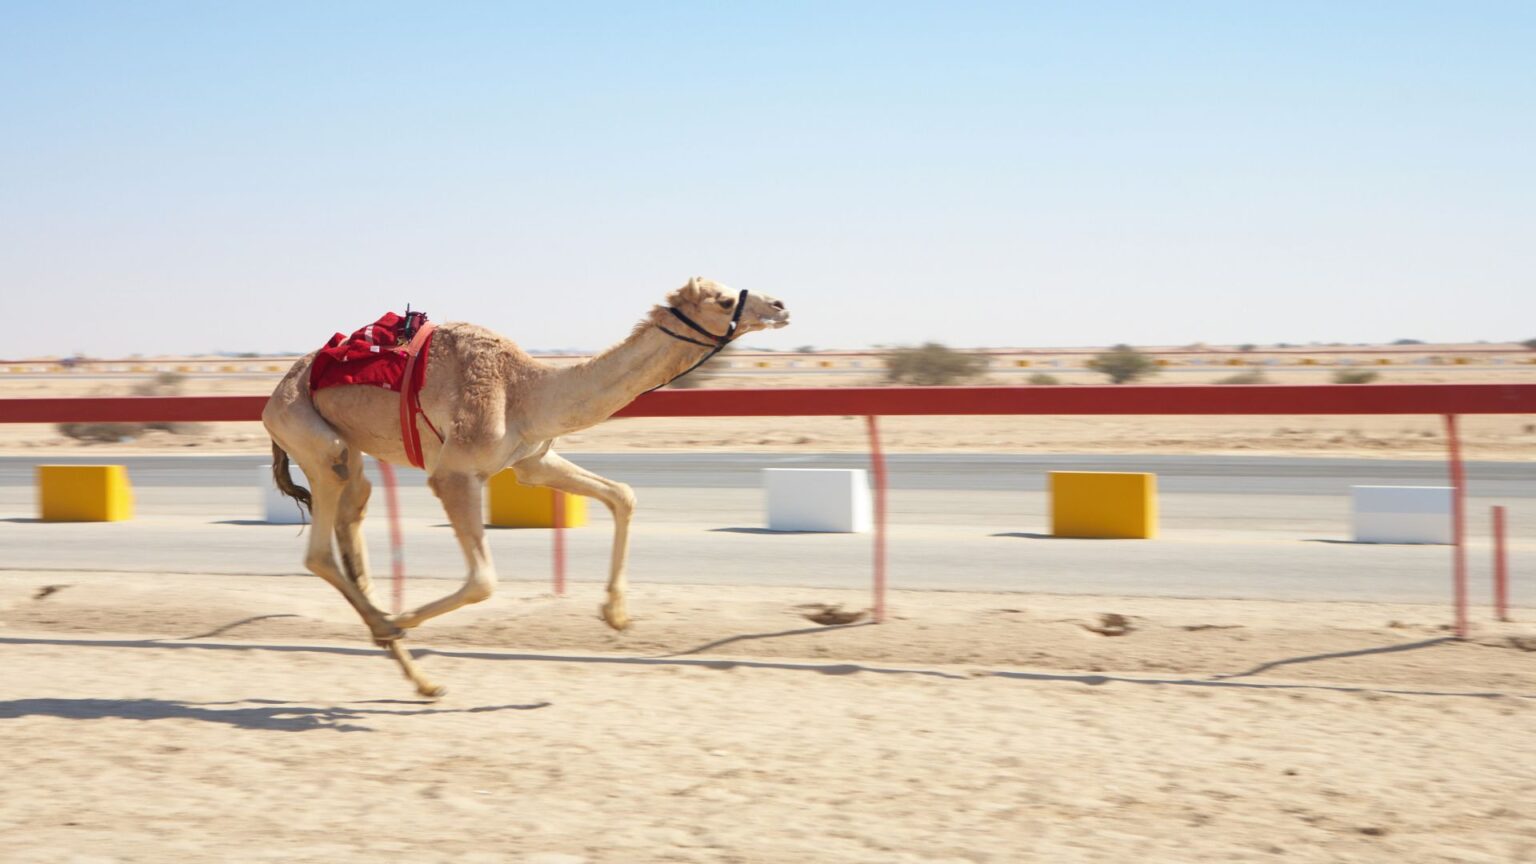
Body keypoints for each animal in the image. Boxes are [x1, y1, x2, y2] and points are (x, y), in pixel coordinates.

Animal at [262, 277, 790, 697]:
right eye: (724, 300)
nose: (781, 305)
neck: (527, 389)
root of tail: (272, 399)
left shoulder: (533, 461)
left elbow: (623, 495)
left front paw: (616, 615)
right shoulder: (454, 473)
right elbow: (483, 581)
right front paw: (400, 621)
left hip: (349, 455)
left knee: (353, 534)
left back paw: (419, 677)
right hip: (316, 439)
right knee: (321, 552)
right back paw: (391, 633)